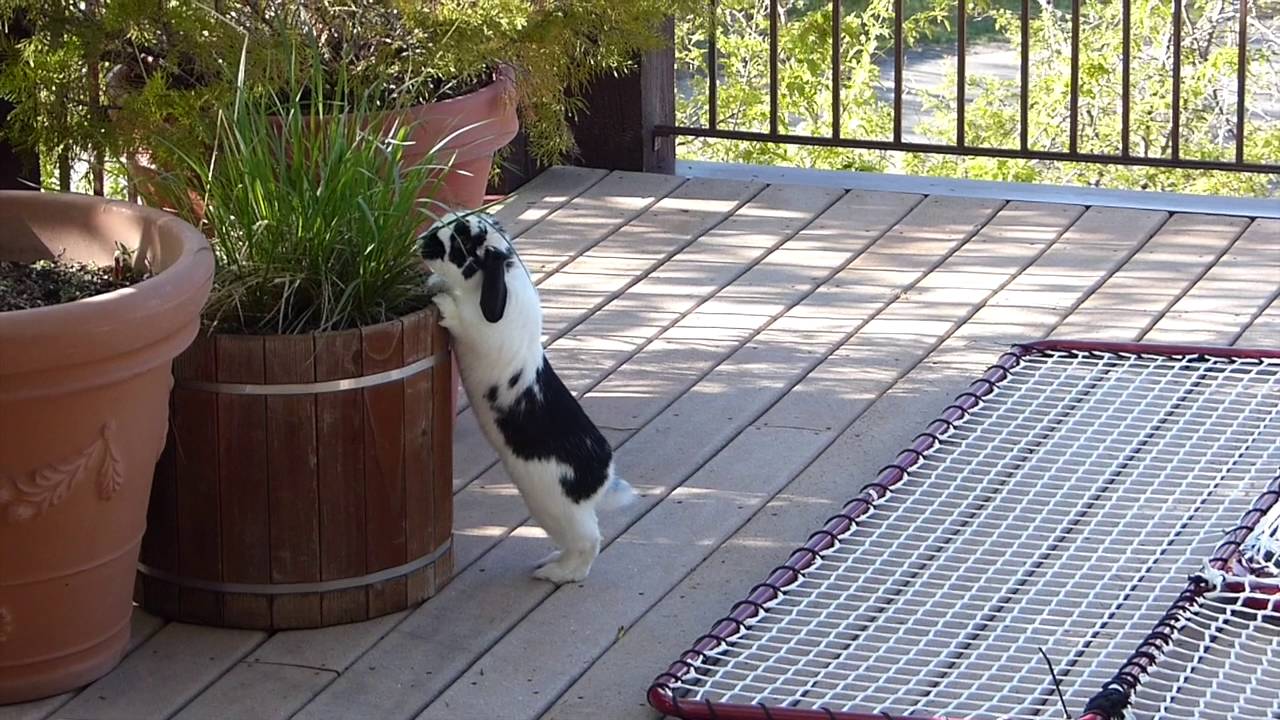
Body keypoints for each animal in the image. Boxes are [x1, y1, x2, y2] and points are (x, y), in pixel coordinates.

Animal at [419, 211, 636, 584]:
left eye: (461, 241)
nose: (422, 241)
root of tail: (602, 477)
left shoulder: (476, 327)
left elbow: (460, 316)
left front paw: (442, 301)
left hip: (553, 506)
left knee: (588, 543)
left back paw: (554, 573)